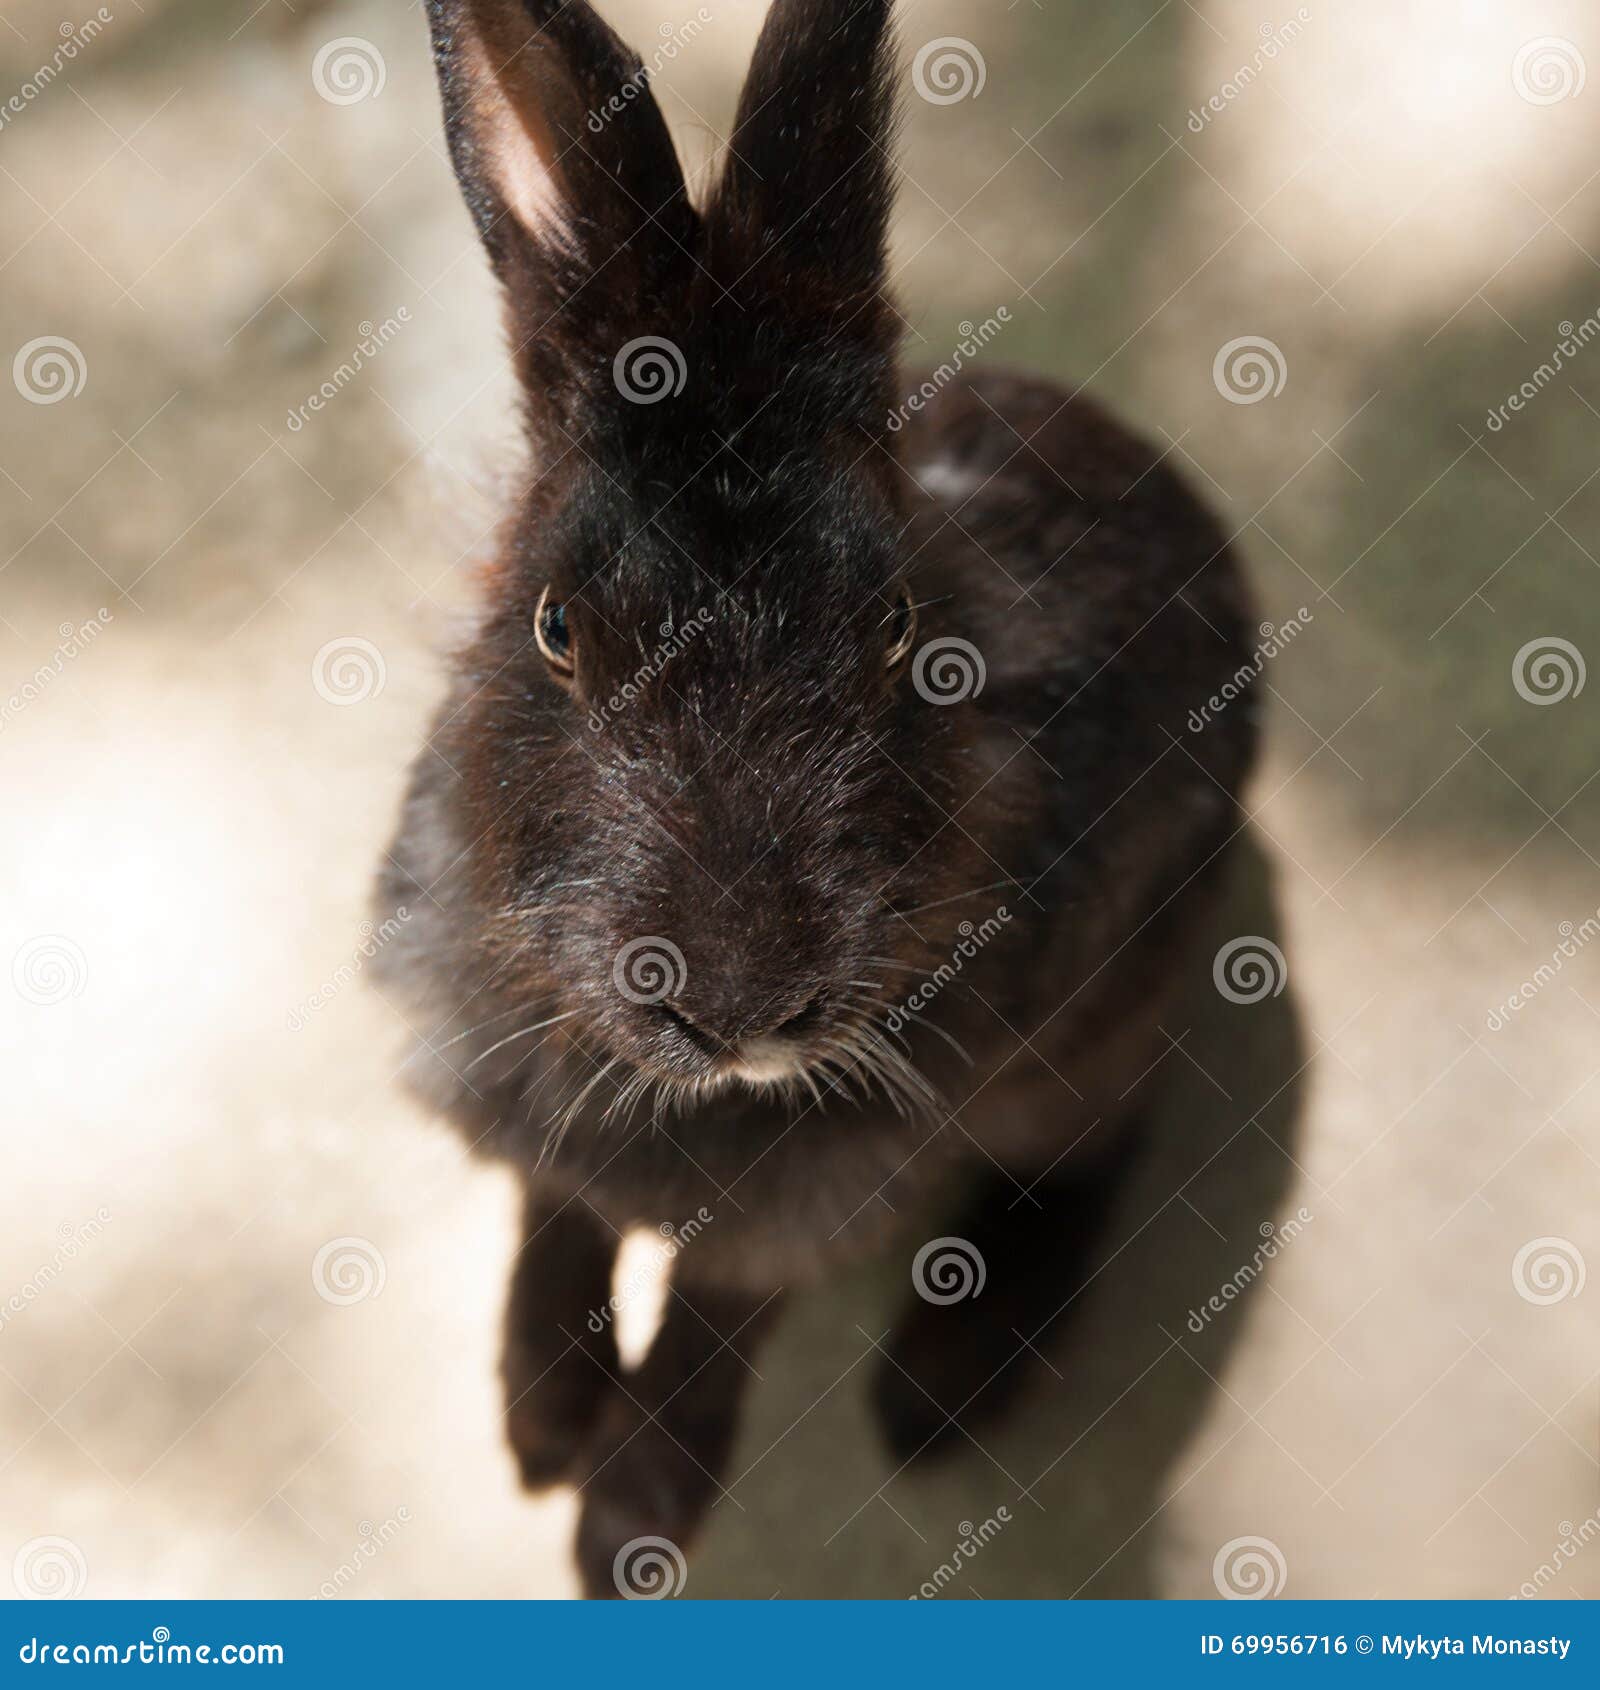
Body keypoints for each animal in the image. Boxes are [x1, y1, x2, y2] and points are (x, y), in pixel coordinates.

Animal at [376, 0, 1258, 1598]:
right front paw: (539, 1419)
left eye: (901, 628)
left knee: (1099, 1145)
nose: (734, 1003)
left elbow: (711, 1327)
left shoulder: (810, 1196)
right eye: (554, 627)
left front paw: (625, 1527)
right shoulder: (525, 1108)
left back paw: (943, 1389)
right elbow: (556, 1211)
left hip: (1098, 1030)